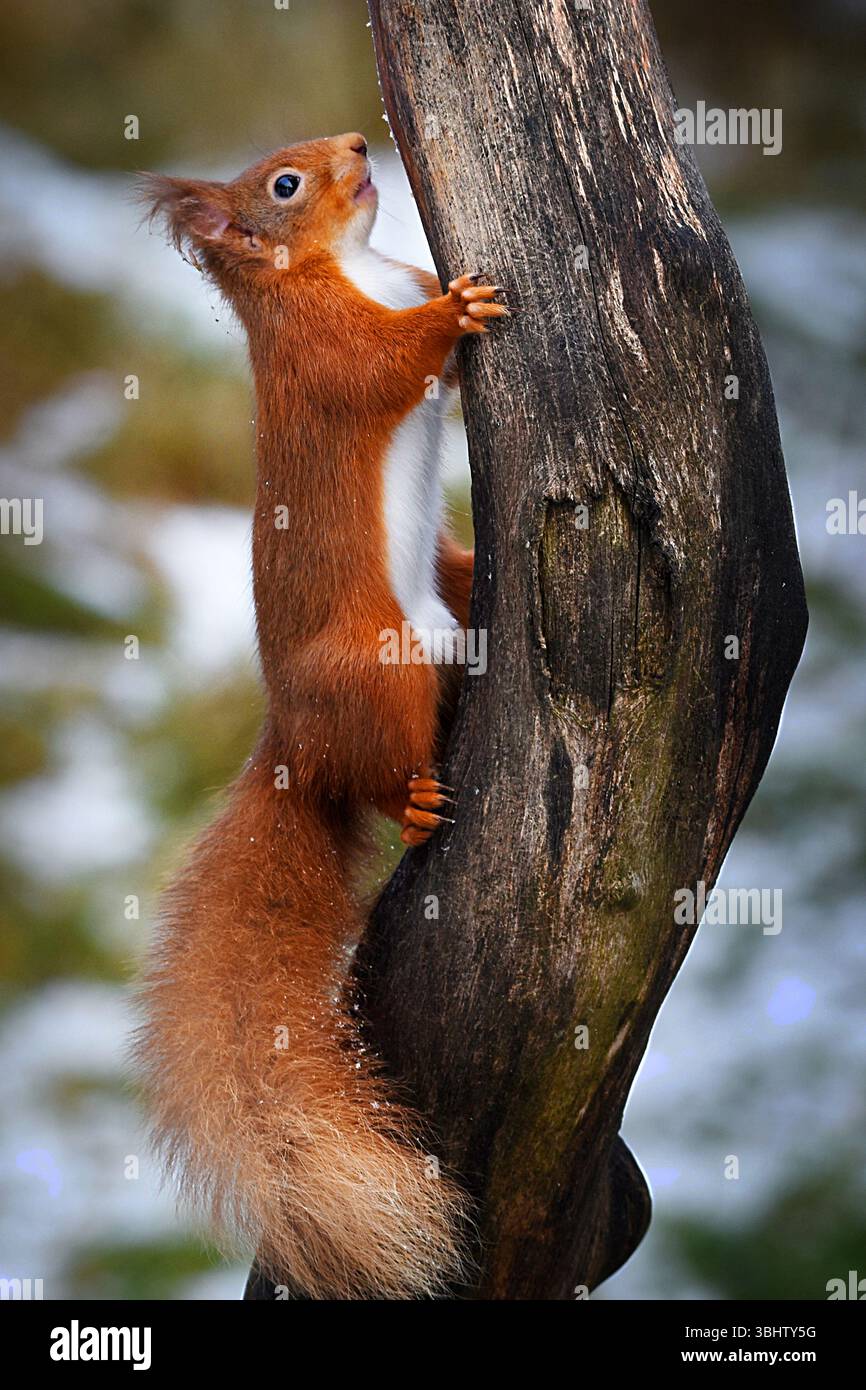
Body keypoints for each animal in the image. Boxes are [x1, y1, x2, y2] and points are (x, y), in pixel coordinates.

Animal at [136, 132, 507, 1299]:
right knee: (381, 776)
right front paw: (456, 310)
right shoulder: (322, 357)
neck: (349, 268)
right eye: (283, 185)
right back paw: (417, 803)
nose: (354, 143)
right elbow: (382, 368)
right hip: (376, 673)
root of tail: (292, 748)